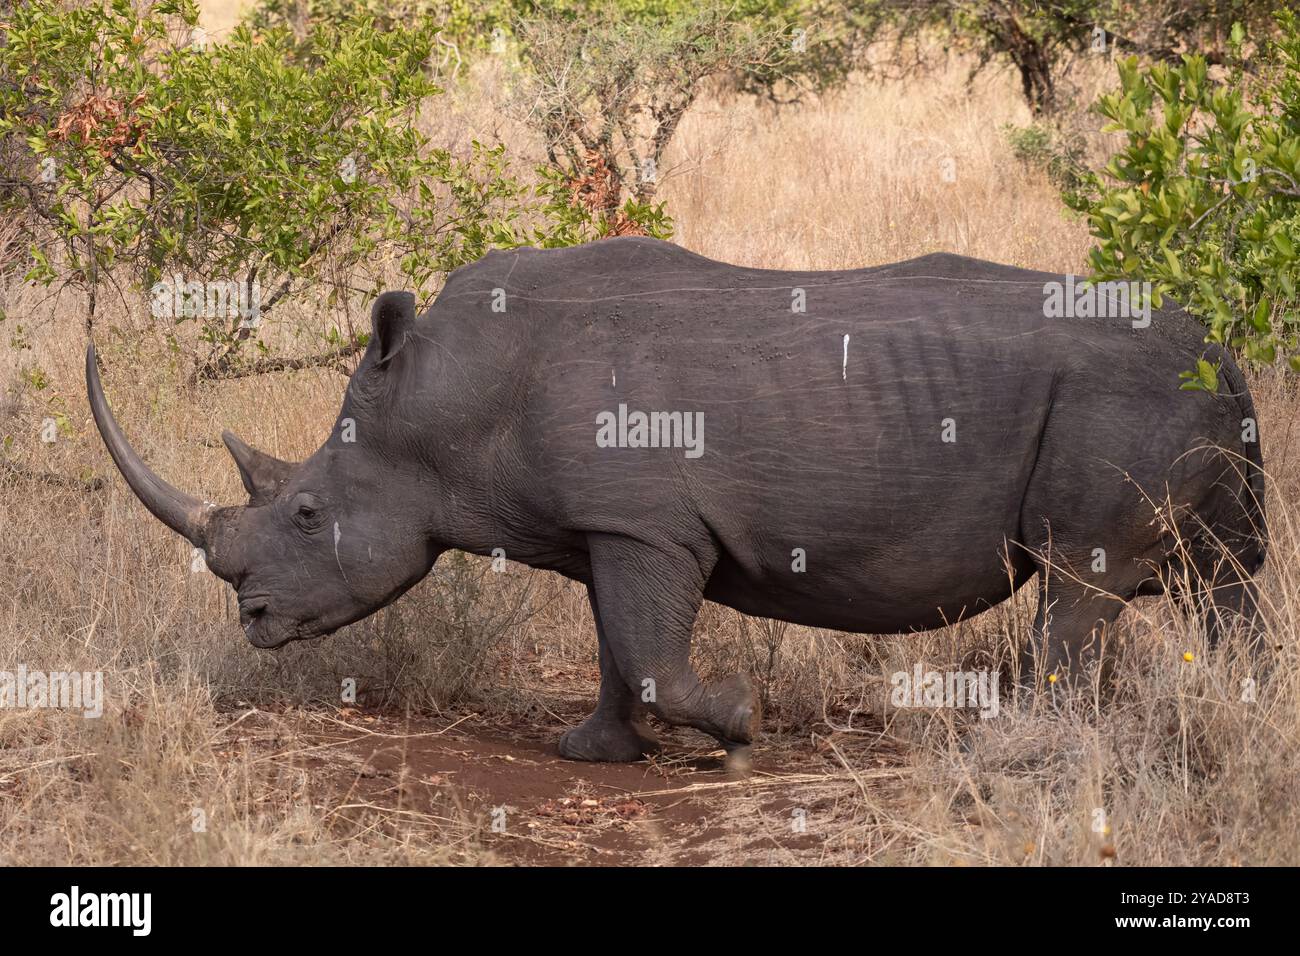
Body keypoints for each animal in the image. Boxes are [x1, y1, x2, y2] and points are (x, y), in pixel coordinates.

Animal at [87, 237, 1266, 763]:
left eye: (304, 514)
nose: (250, 619)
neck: (446, 392)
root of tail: (1221, 347)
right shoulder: (610, 525)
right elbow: (621, 644)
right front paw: (594, 751)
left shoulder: (645, 522)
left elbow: (652, 647)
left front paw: (740, 724)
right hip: (1197, 403)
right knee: (1224, 583)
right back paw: (1247, 706)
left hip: (1120, 398)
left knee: (1080, 577)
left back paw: (1014, 746)